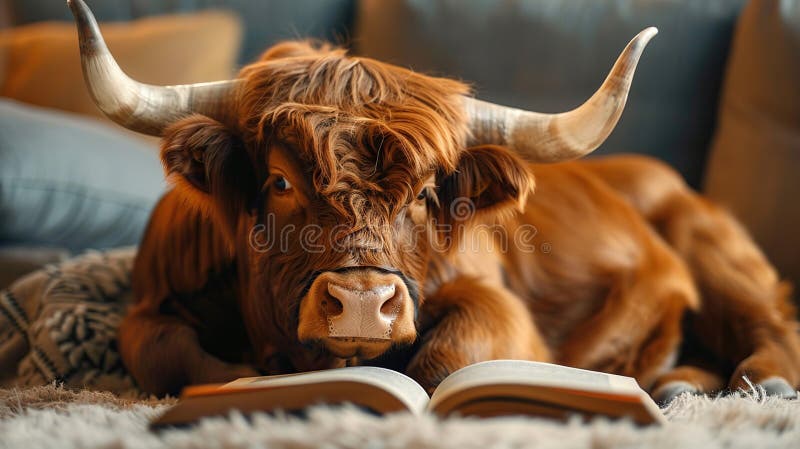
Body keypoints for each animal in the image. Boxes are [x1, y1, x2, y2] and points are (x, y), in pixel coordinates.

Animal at [68, 0, 800, 403]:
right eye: (279, 182)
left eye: (423, 193)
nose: (364, 301)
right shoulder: (151, 303)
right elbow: (164, 352)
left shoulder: (501, 309)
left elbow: (447, 359)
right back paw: (682, 381)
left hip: (712, 248)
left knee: (770, 321)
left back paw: (758, 381)